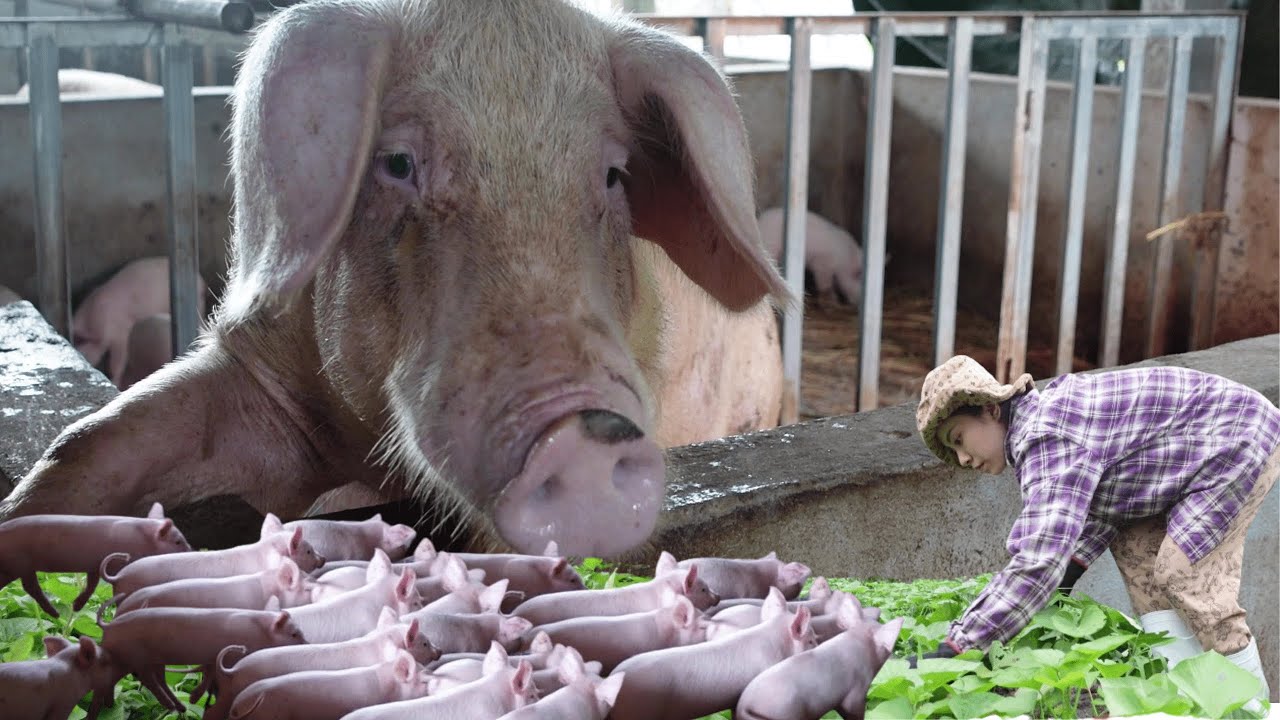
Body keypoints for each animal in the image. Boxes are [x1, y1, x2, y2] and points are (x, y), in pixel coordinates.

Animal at [0, 502, 190, 617]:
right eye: (178, 541)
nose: (191, 550)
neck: (142, 537)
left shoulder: (94, 564)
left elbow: (92, 584)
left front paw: (76, 607)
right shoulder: (114, 562)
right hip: (20, 563)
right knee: (30, 586)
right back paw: (56, 614)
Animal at [68, 255, 208, 387]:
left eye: (80, 349)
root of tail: (201, 280)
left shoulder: (120, 333)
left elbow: (118, 362)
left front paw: (114, 381)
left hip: (197, 304)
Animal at [97, 606, 306, 713]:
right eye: (294, 633)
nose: (308, 643)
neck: (260, 630)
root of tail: (109, 625)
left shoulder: (212, 659)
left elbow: (208, 673)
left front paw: (195, 697)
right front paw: (196, 698)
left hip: (148, 660)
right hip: (136, 657)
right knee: (147, 679)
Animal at [757, 206, 889, 307]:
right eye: (860, 280)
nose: (858, 304)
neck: (845, 260)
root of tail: (760, 221)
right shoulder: (822, 264)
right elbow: (825, 285)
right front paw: (833, 302)